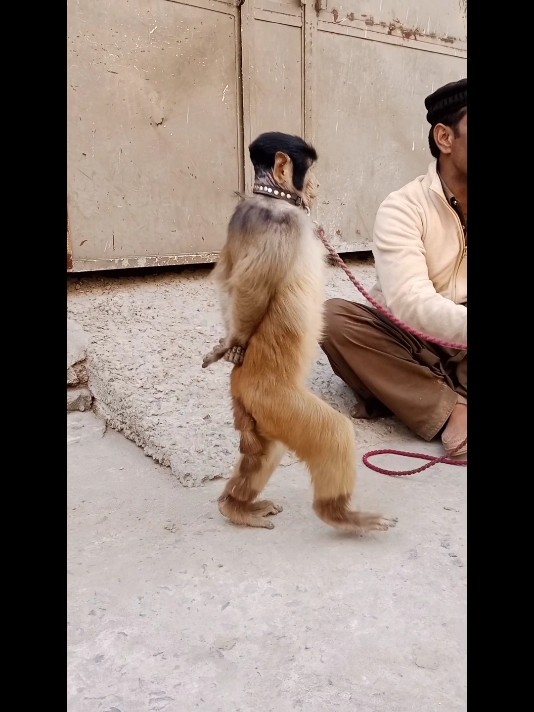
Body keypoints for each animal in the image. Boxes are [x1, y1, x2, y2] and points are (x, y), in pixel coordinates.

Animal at [203, 131, 396, 534]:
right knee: (333, 434)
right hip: (271, 397)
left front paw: (230, 346)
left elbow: (227, 280)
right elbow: (250, 289)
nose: (317, 186)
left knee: (267, 450)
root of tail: (241, 384)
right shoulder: (281, 225)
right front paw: (233, 345)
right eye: (310, 171)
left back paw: (235, 507)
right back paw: (338, 513)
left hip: (261, 408)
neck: (269, 197)